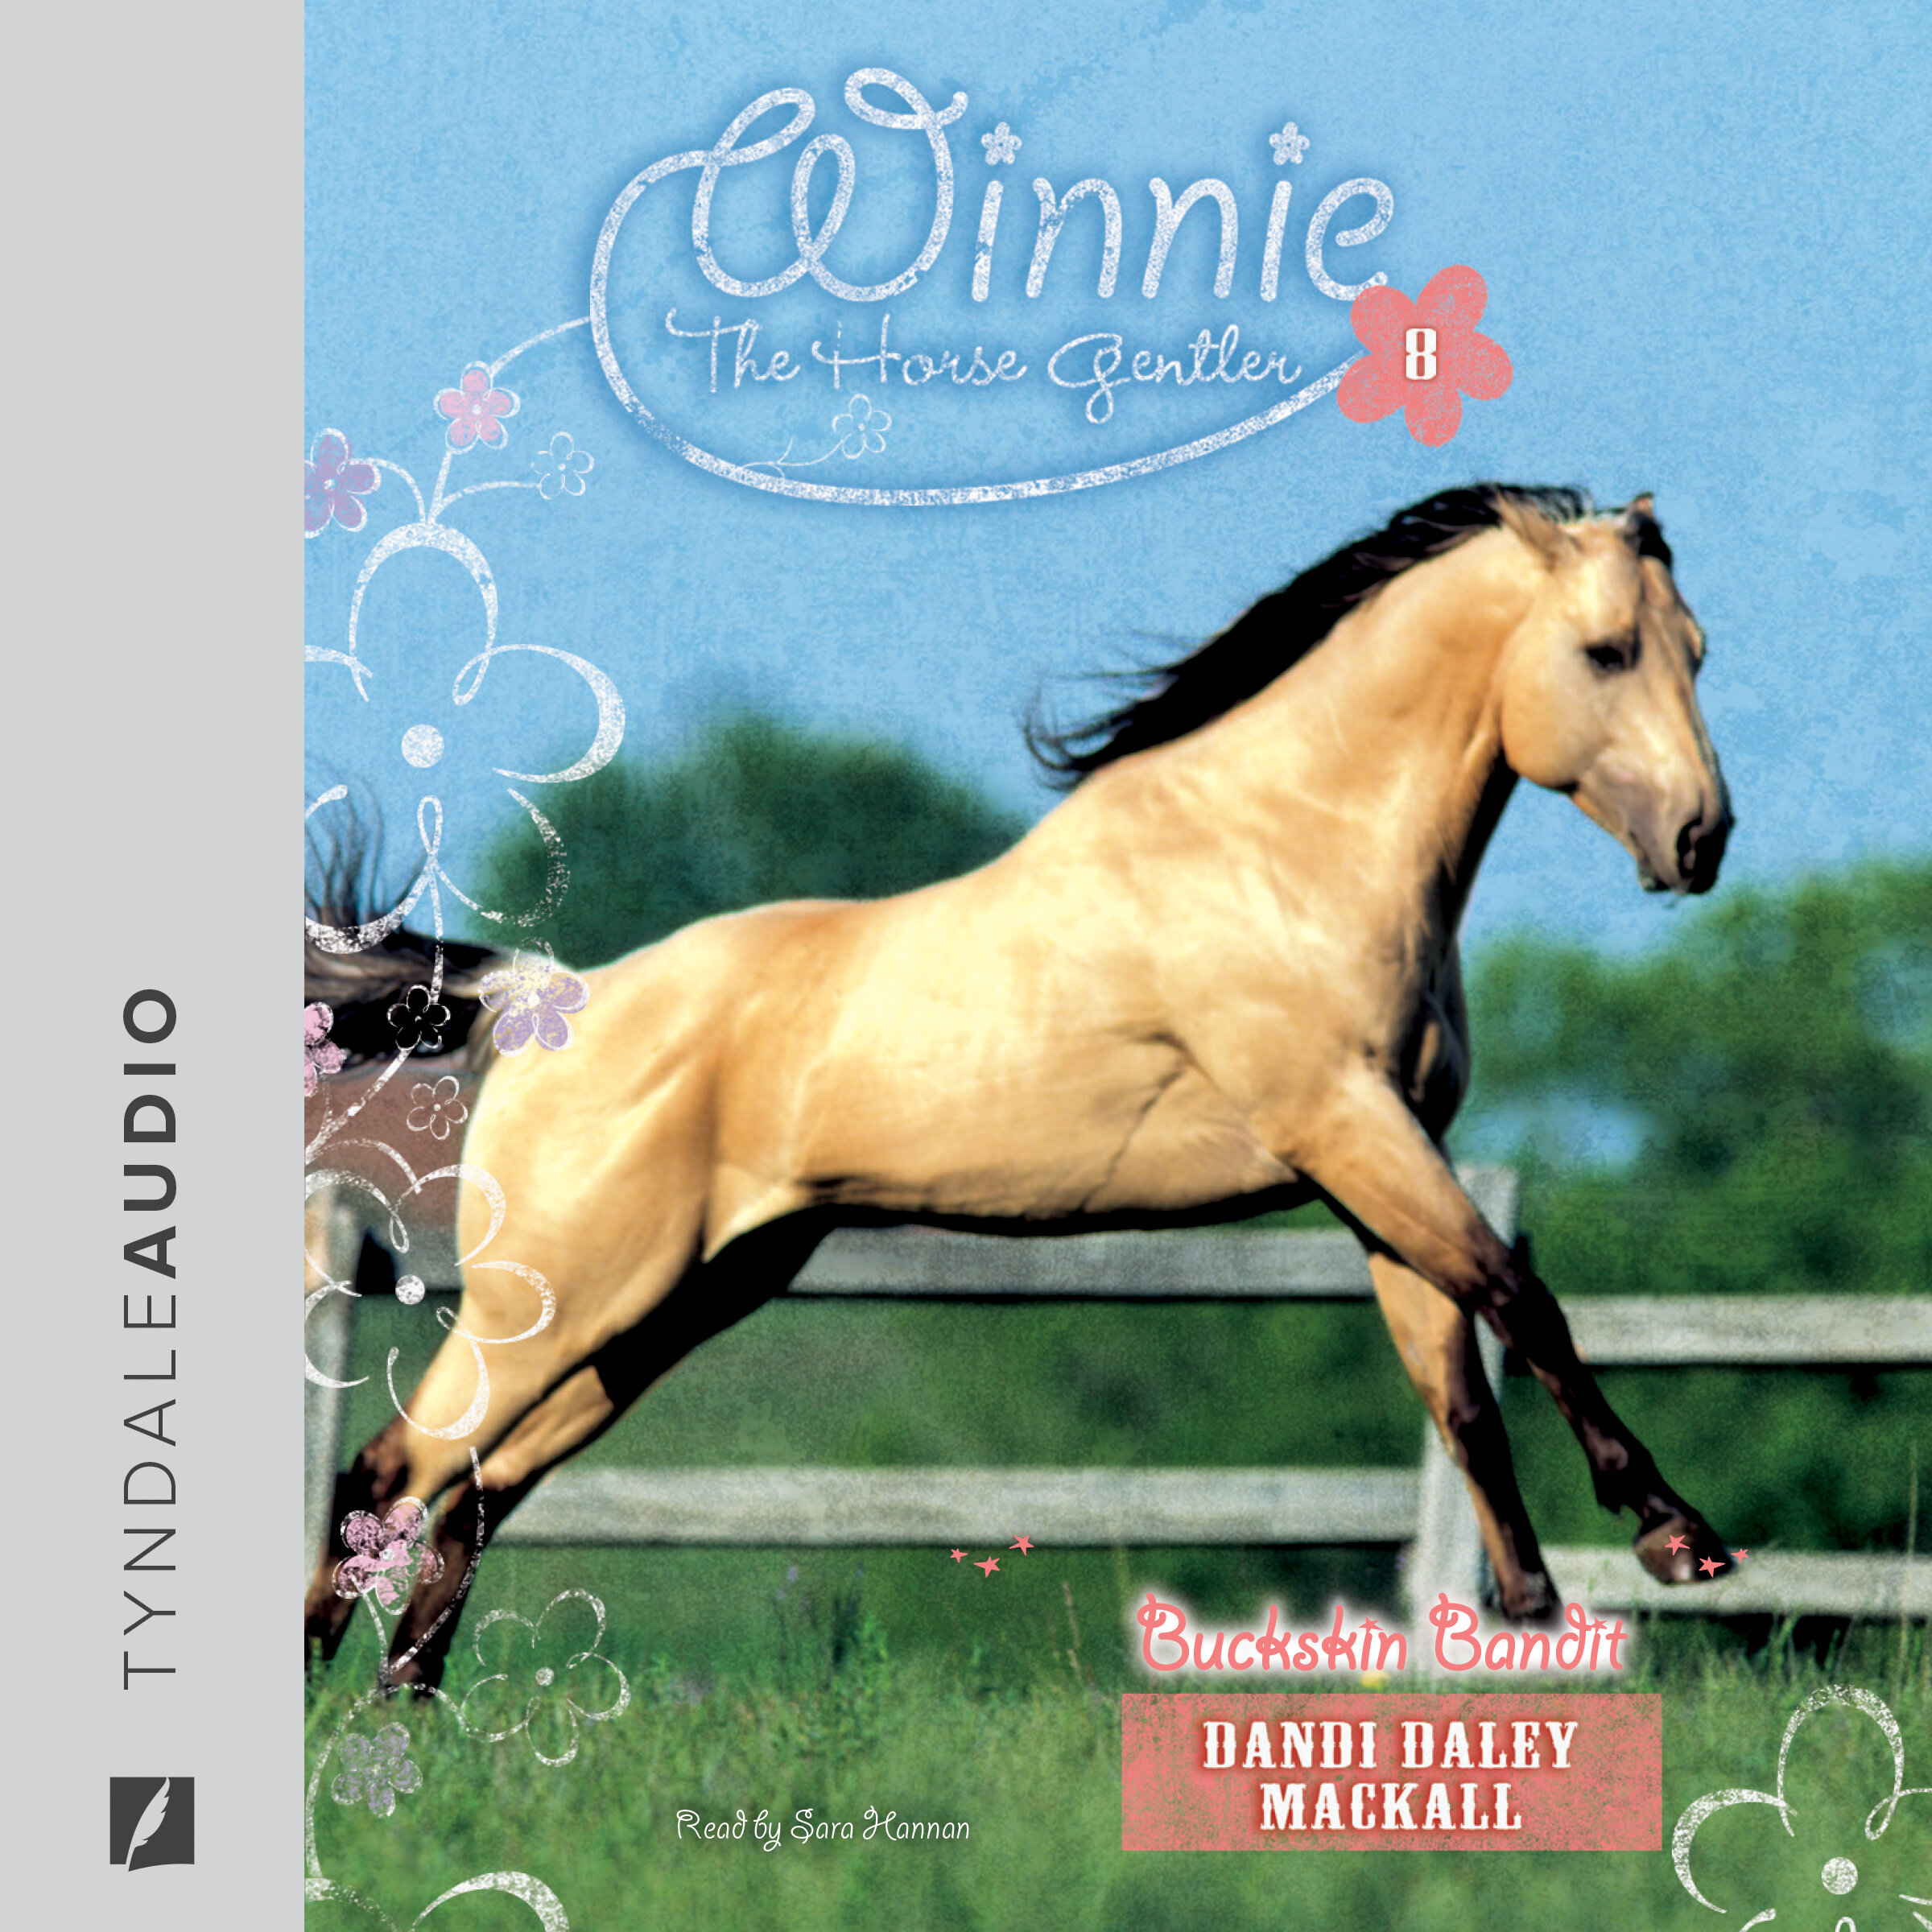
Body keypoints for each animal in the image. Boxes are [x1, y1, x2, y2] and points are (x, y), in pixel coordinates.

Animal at [304, 483, 1735, 1685]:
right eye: (1608, 651)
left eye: (1698, 649)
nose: (1700, 840)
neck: (1283, 851)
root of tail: (546, 1000)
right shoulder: (1347, 1129)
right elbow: (1522, 1300)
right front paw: (1678, 1537)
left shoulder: (1383, 1170)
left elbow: (1462, 1389)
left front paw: (1531, 1617)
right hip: (563, 1300)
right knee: (394, 1469)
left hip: (675, 1303)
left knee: (480, 1487)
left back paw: (404, 1714)